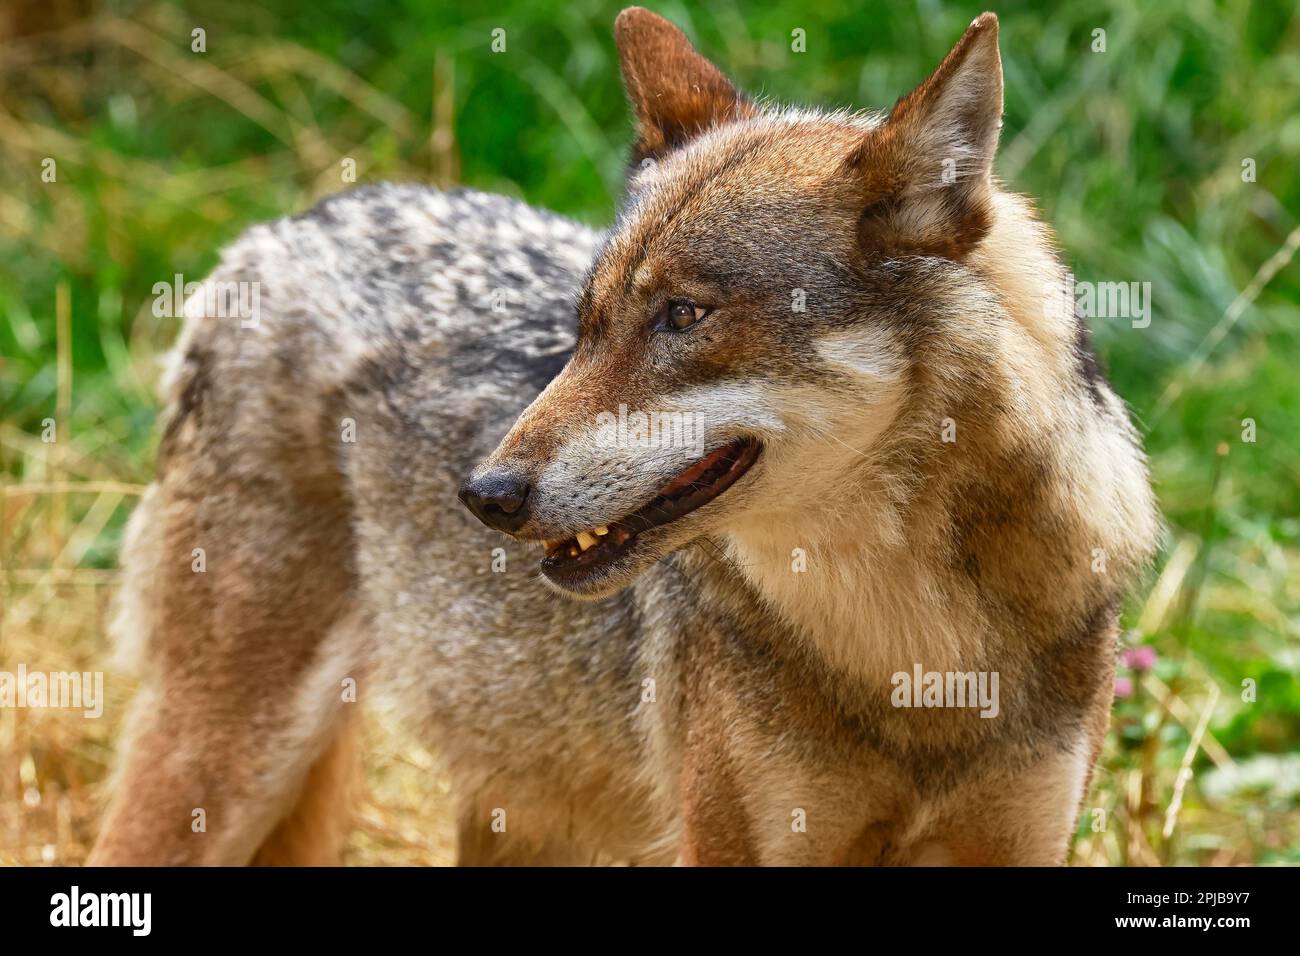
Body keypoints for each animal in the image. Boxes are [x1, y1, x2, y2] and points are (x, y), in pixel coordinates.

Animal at [90, 9, 1158, 866]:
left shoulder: (1018, 842)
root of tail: (280, 228)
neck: (914, 655)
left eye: (683, 316)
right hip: (221, 761)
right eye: (586, 327)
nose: (484, 495)